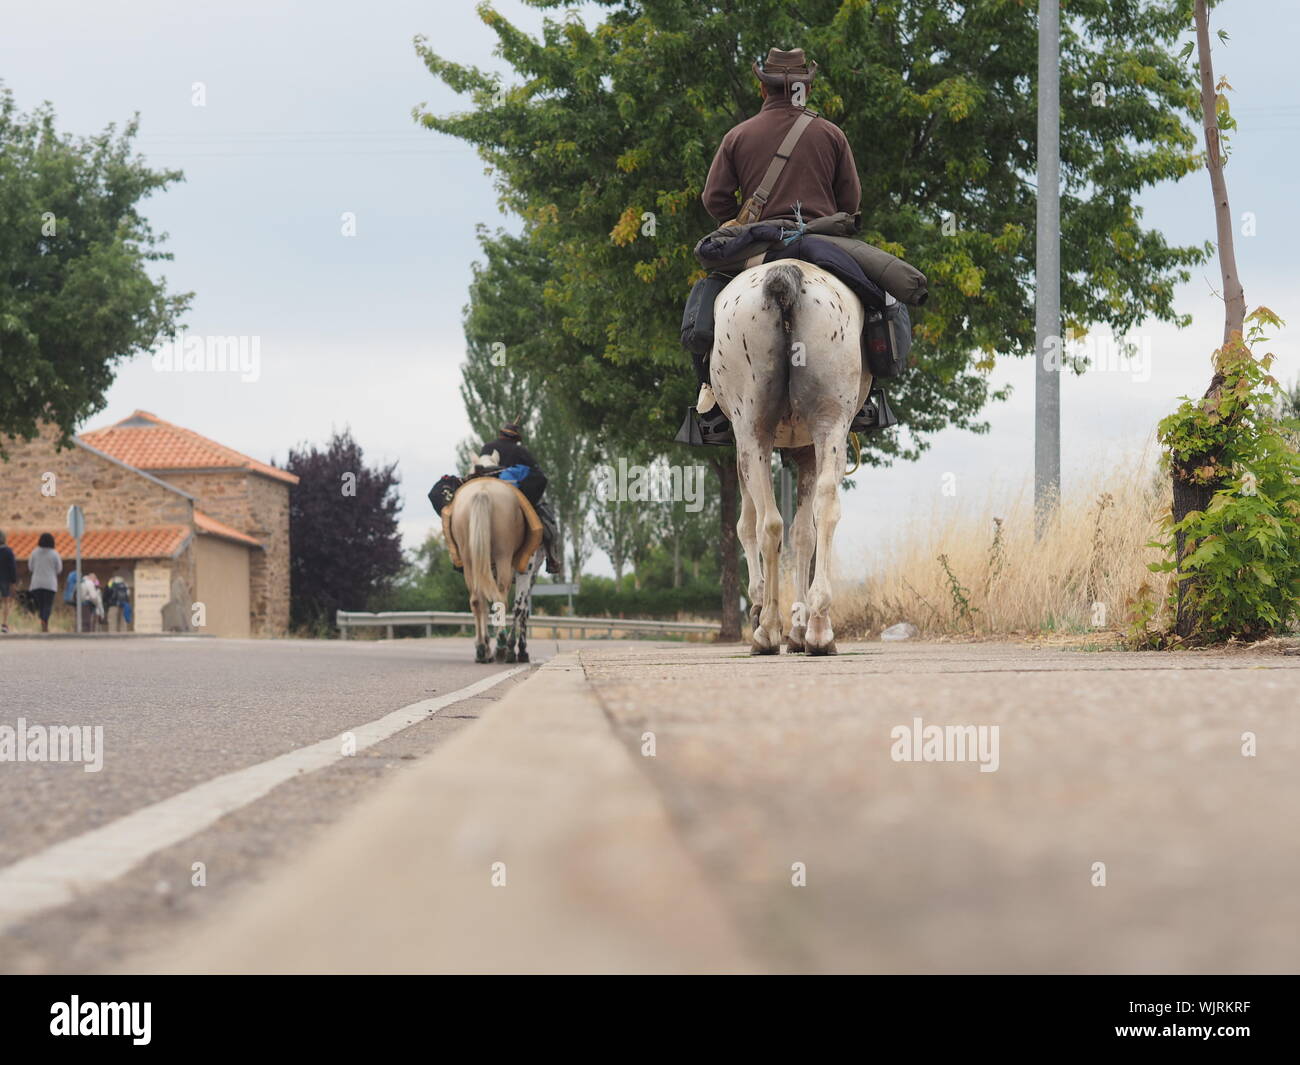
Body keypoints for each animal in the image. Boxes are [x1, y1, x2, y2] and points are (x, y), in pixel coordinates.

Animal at [449, 474, 544, 664]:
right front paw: (519, 650)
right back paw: (502, 645)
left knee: (477, 600)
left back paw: (482, 650)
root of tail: (482, 491)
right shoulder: (529, 572)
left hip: (470, 559)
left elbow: (487, 607)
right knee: (505, 599)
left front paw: (487, 644)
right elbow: (522, 609)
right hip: (503, 556)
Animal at [710, 260, 869, 656]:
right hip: (830, 423)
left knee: (769, 524)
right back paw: (819, 630)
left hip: (752, 430)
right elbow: (804, 535)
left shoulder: (741, 447)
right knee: (824, 508)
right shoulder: (806, 450)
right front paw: (799, 626)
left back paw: (767, 629)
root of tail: (785, 272)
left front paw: (761, 608)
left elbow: (747, 524)